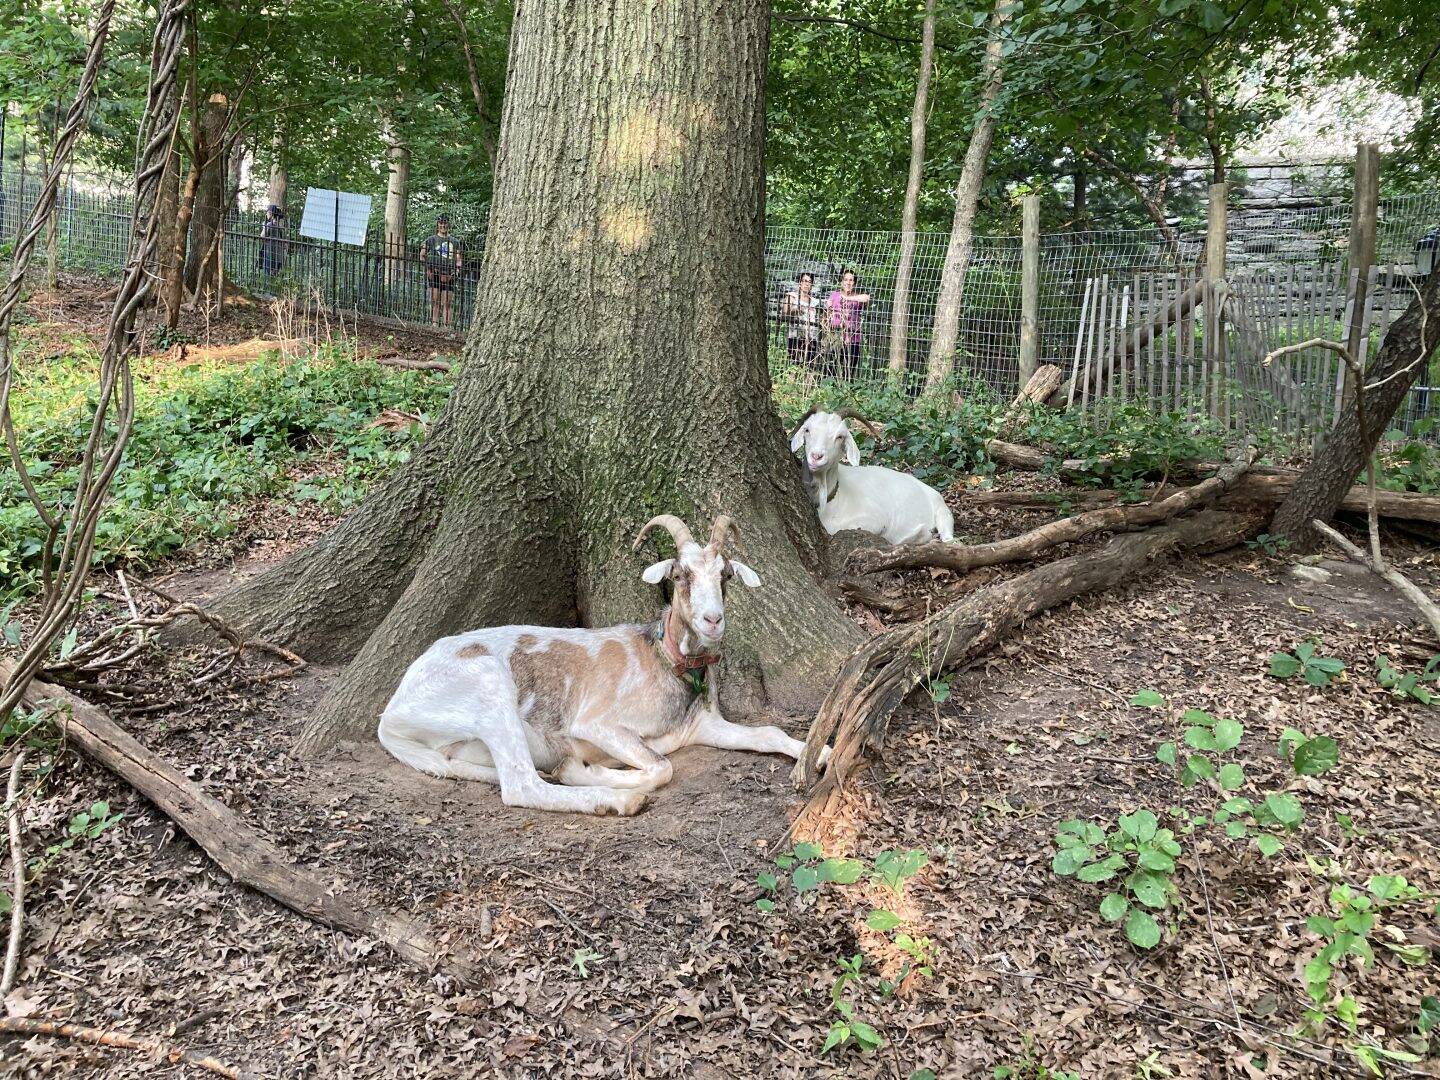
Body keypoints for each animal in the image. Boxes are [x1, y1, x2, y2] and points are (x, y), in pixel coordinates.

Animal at [377, 514, 822, 816]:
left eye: (726, 575)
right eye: (680, 575)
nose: (712, 620)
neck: (661, 659)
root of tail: (392, 713)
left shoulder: (703, 726)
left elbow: (768, 733)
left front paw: (821, 753)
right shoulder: (597, 724)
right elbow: (661, 767)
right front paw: (589, 770)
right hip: (488, 687)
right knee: (522, 785)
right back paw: (616, 799)